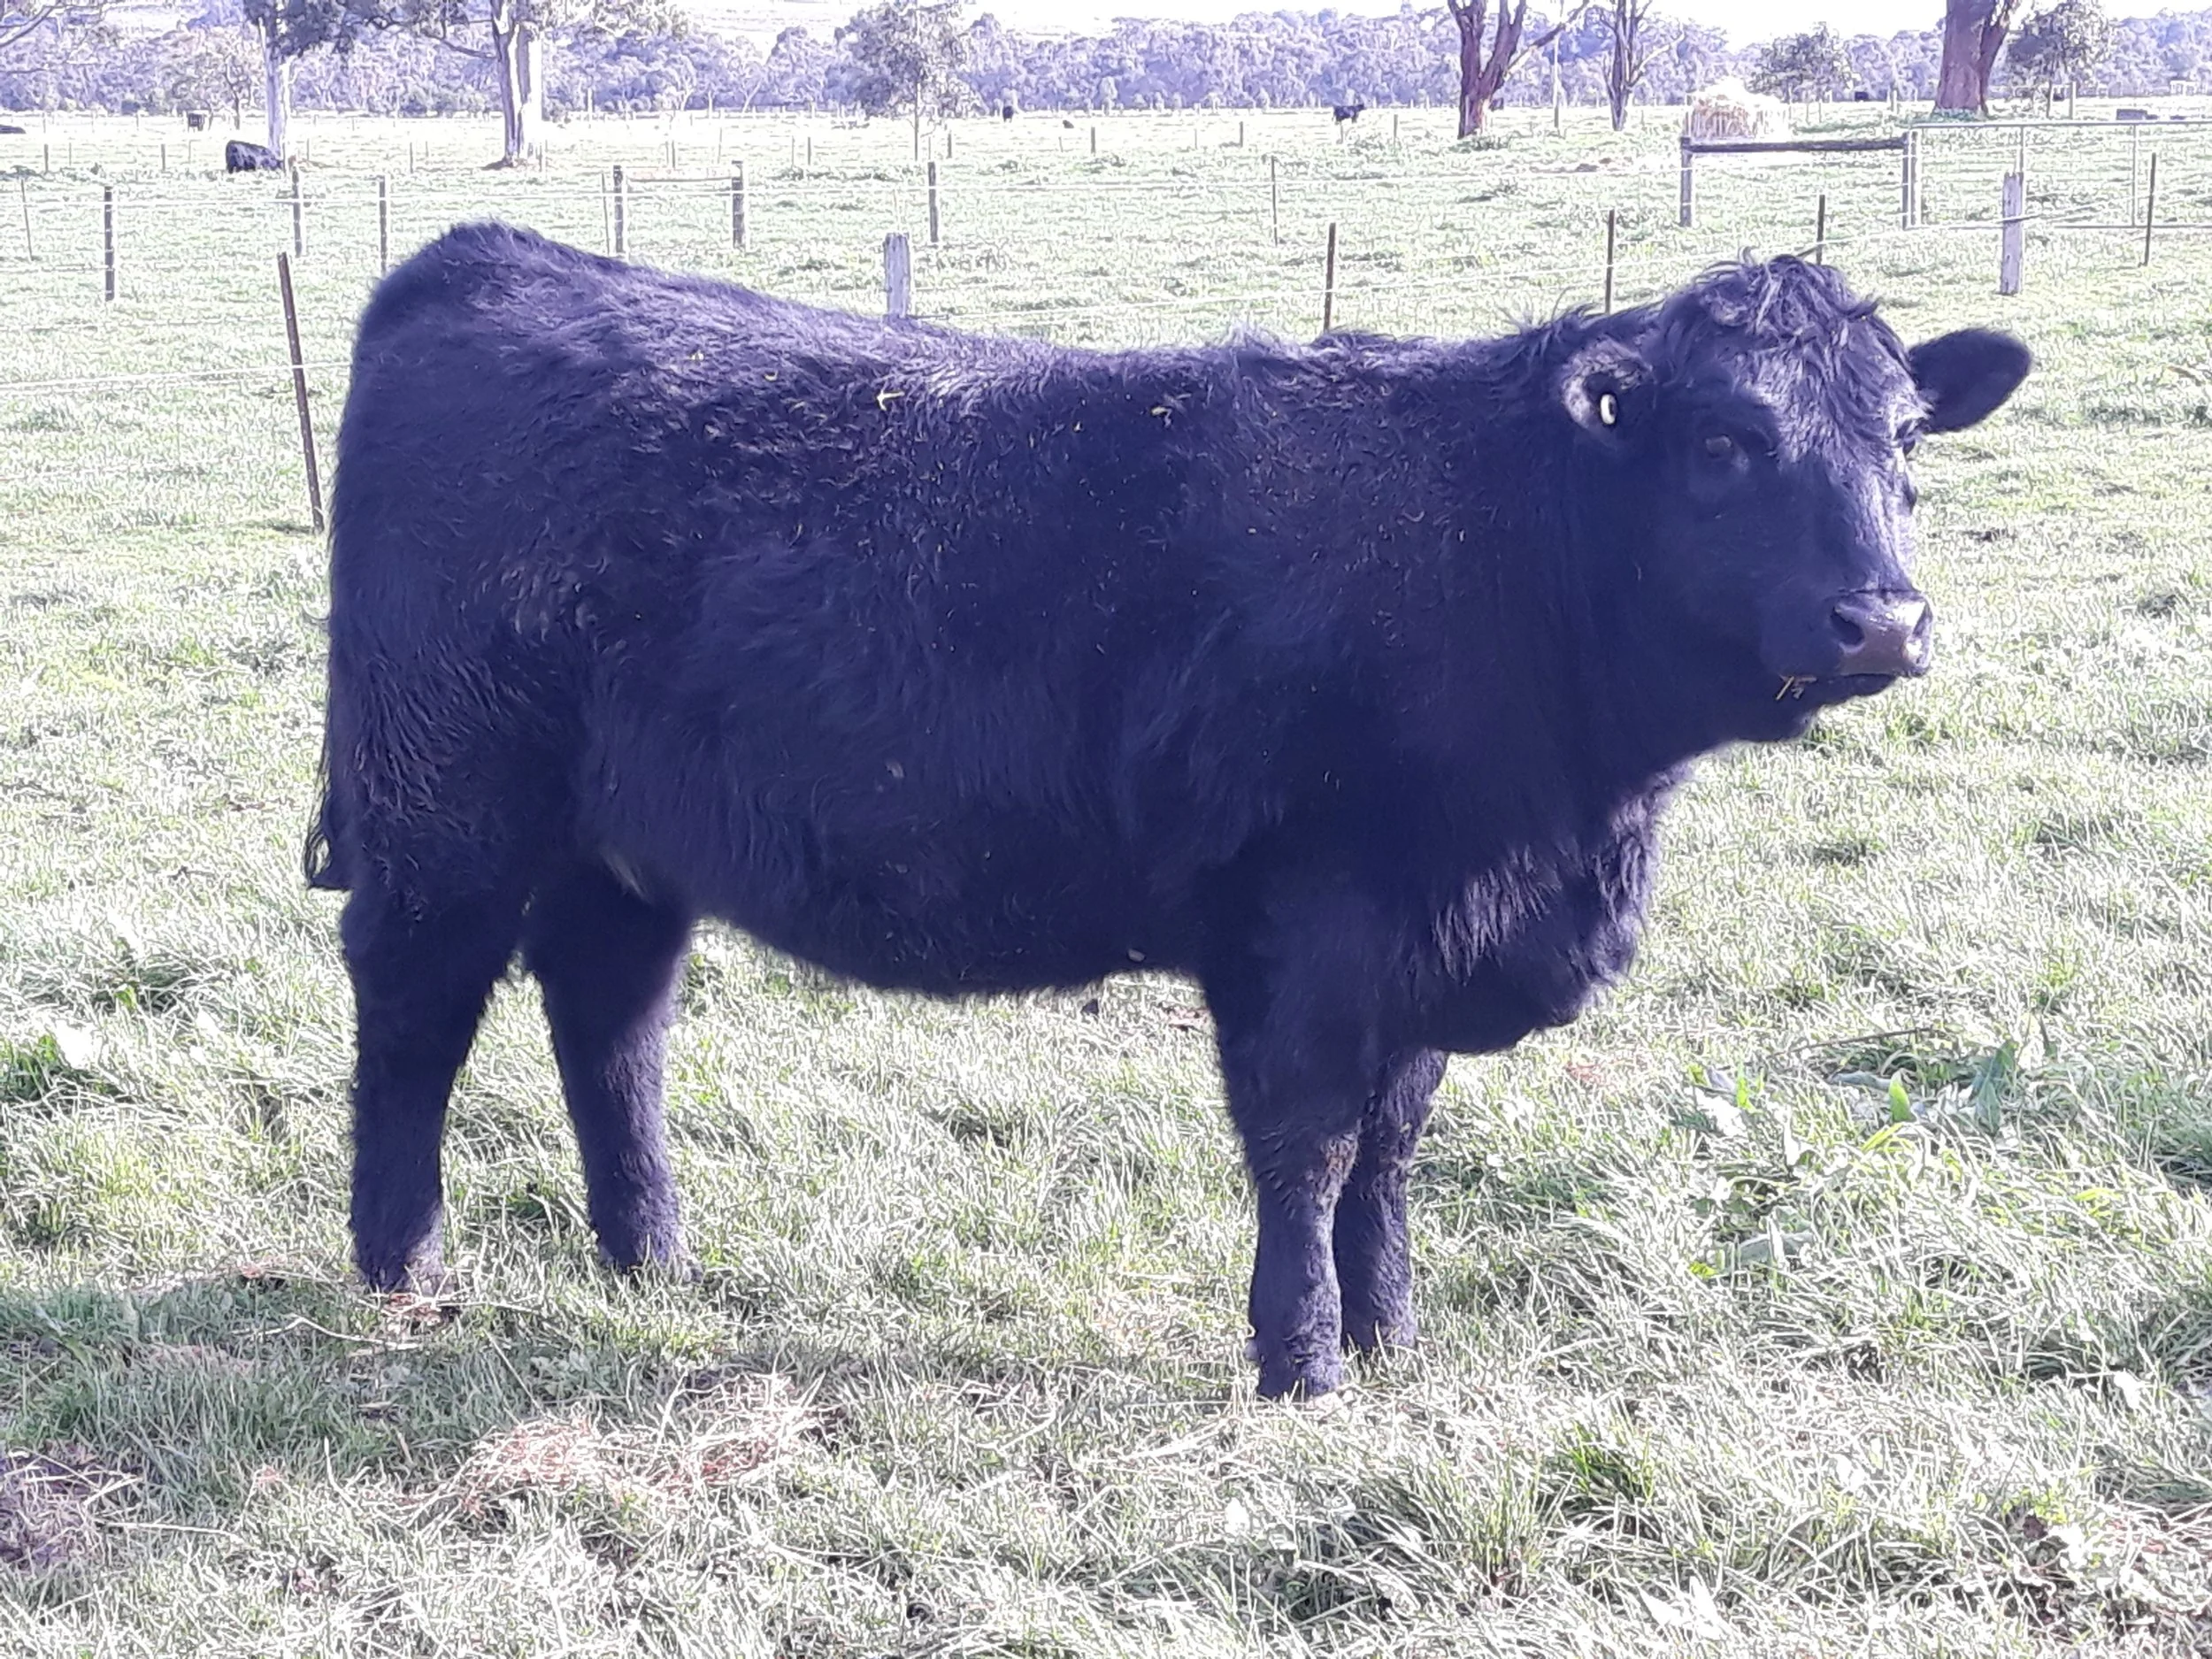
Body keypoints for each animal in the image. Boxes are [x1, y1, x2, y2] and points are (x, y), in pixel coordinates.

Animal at [310, 224, 2029, 1398]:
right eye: (1729, 441)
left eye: (1905, 440)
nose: (1884, 621)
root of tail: (494, 259)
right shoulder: (1313, 930)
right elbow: (1312, 1143)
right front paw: (1302, 1360)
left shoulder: (1429, 936)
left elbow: (1395, 1149)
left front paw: (1391, 1334)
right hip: (442, 811)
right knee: (414, 1014)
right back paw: (404, 1265)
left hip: (619, 844)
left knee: (609, 1021)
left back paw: (650, 1254)